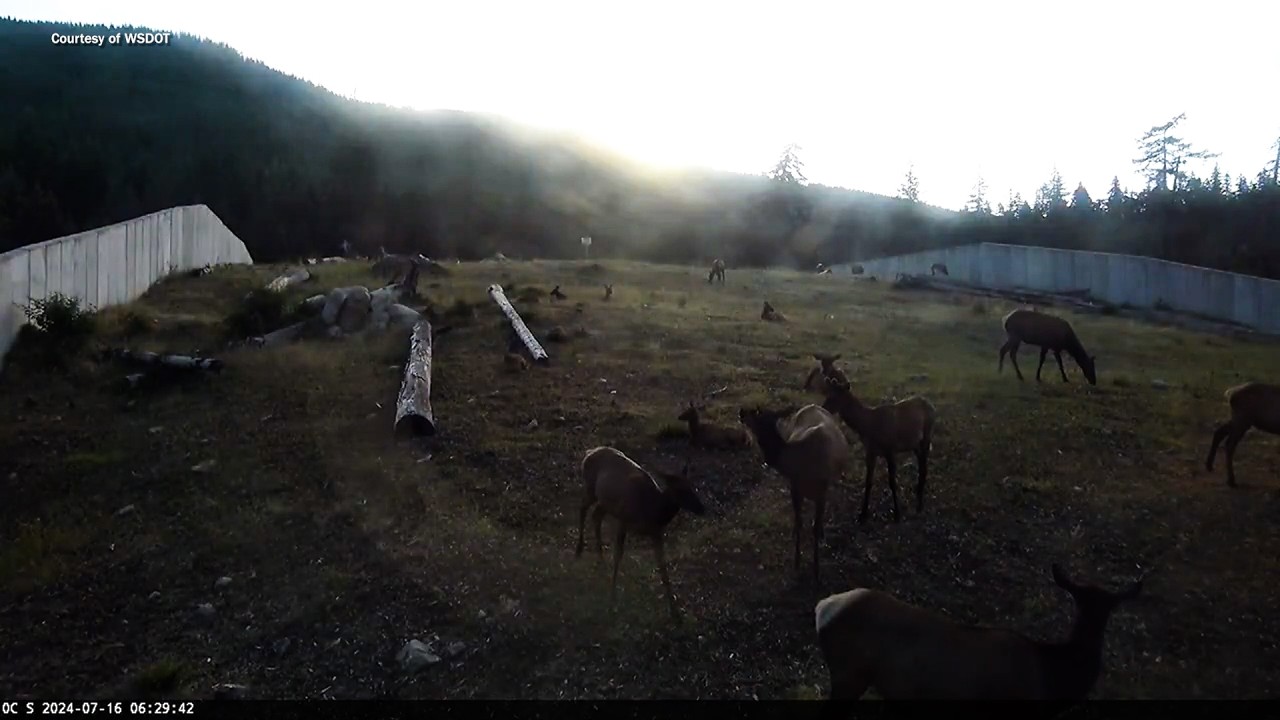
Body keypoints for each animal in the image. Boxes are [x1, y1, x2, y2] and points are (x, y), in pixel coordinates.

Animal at [575, 447, 707, 620]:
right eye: (680, 490)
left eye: (692, 486)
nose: (701, 508)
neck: (652, 511)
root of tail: (590, 452)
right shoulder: (623, 521)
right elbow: (618, 557)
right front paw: (612, 600)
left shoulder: (657, 533)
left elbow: (663, 567)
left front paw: (675, 611)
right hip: (590, 487)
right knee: (583, 508)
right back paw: (579, 550)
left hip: (605, 501)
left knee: (596, 515)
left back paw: (601, 558)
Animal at [738, 404, 850, 584]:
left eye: (758, 415)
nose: (741, 412)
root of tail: (813, 405)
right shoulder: (794, 487)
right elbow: (799, 522)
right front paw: (797, 562)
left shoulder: (821, 493)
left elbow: (814, 527)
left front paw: (816, 570)